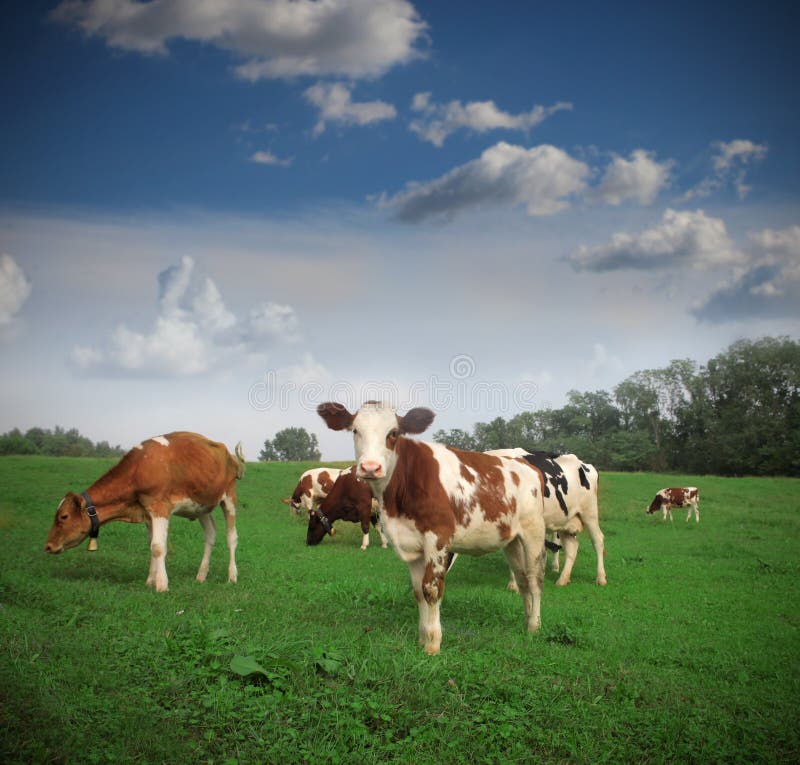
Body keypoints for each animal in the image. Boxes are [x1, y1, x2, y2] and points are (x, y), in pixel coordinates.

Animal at [44, 432, 246, 592]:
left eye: (63, 516)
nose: (48, 546)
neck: (138, 468)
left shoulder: (159, 507)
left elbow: (158, 546)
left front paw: (162, 585)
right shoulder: (147, 513)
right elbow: (151, 545)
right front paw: (150, 580)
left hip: (229, 497)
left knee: (232, 537)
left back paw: (232, 576)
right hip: (201, 505)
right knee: (211, 534)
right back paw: (201, 576)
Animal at [318, 400, 547, 656]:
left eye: (393, 433)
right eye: (355, 430)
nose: (370, 467)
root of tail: (526, 464)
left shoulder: (438, 539)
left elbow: (432, 589)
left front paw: (433, 643)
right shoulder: (412, 545)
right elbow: (418, 591)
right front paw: (422, 637)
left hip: (534, 533)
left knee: (535, 579)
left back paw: (535, 626)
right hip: (512, 540)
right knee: (523, 580)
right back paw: (526, 622)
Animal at [486, 449, 606, 588]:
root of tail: (584, 464)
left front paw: (514, 584)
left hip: (589, 513)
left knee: (598, 541)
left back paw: (601, 578)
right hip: (565, 520)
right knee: (572, 547)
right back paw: (562, 579)